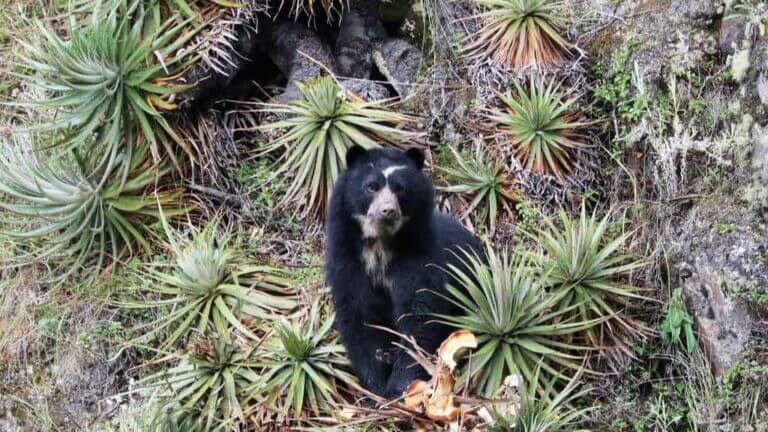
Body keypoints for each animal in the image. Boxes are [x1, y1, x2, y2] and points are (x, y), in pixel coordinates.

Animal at [325, 145, 484, 399]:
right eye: (371, 186)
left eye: (400, 188)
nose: (387, 211)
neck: (380, 244)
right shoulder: (347, 260)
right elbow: (359, 316)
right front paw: (375, 391)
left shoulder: (420, 256)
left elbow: (419, 316)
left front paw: (397, 390)